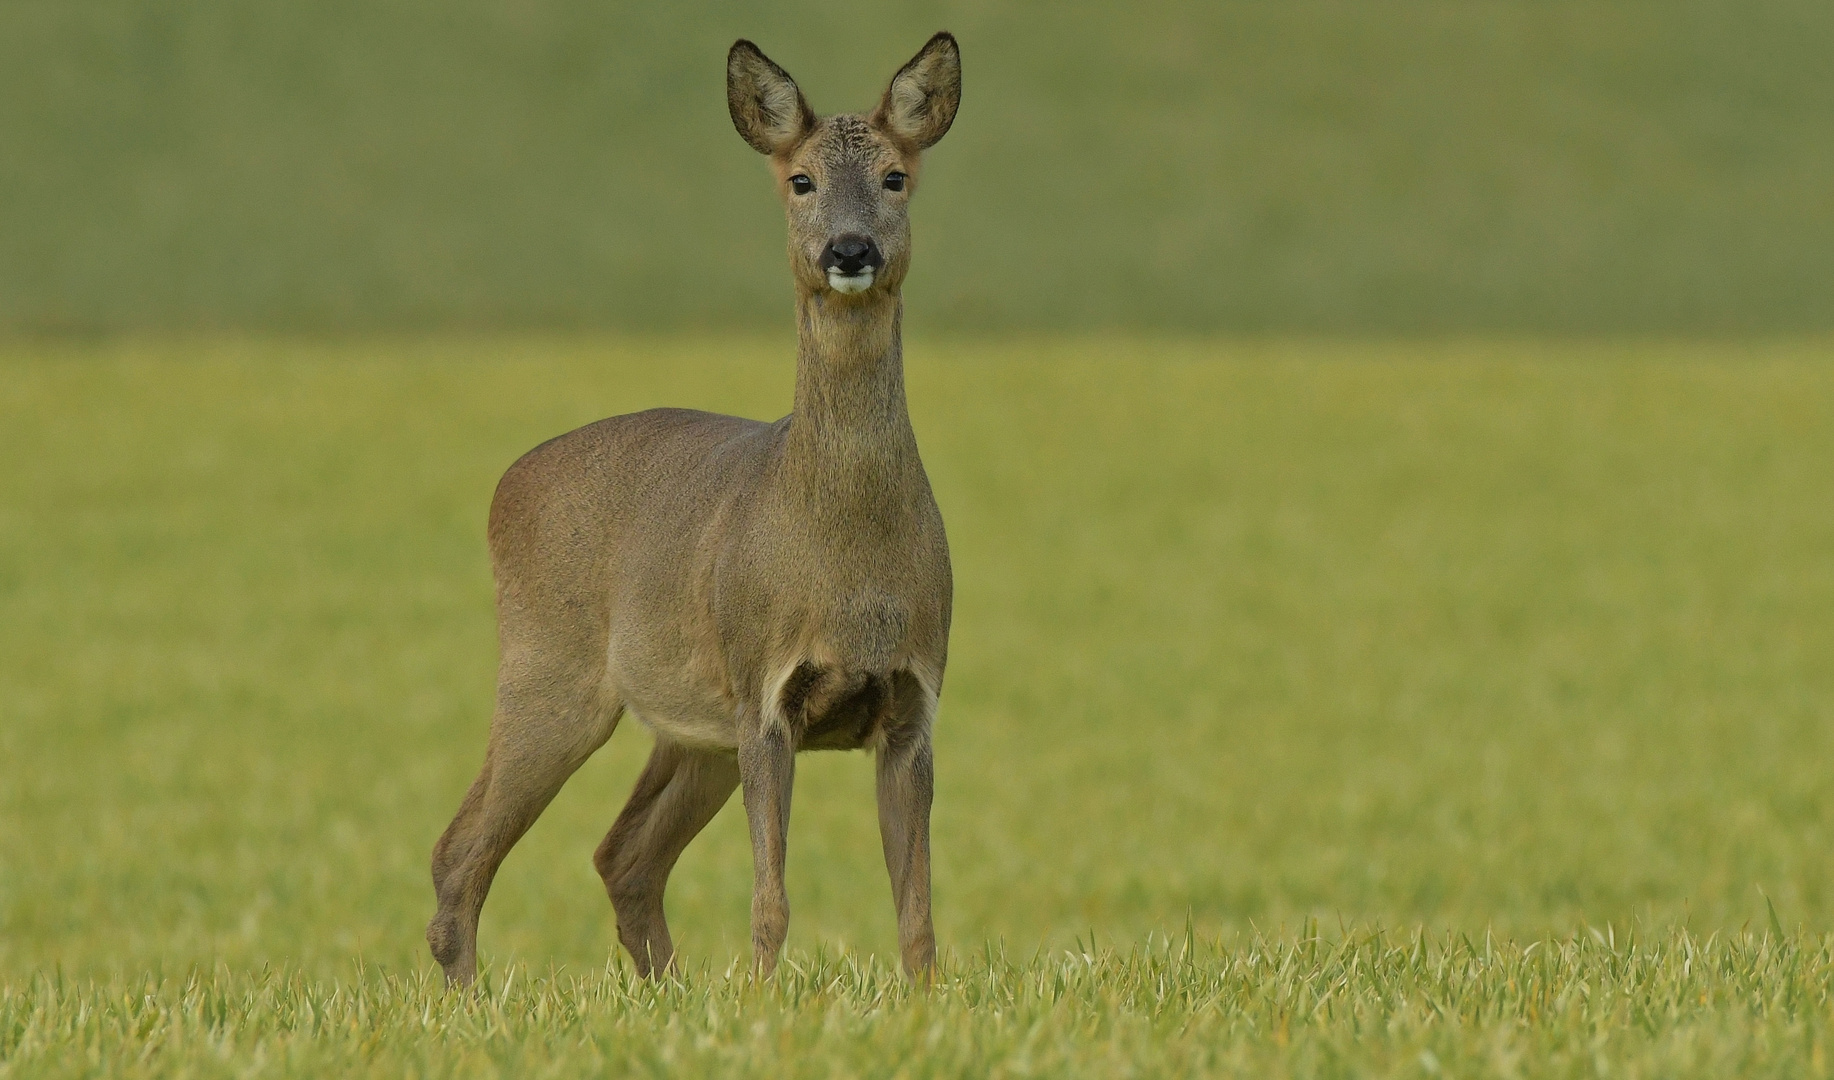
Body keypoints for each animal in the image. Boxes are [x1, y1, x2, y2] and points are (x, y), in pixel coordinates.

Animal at [427, 33, 968, 982]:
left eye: (897, 174)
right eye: (801, 180)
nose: (850, 248)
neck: (846, 563)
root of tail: (504, 485)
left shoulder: (912, 702)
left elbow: (917, 917)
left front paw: (924, 1004)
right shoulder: (764, 694)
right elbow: (771, 901)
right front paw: (760, 998)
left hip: (690, 728)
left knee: (623, 854)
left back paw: (668, 993)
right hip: (550, 669)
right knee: (459, 855)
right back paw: (474, 1001)